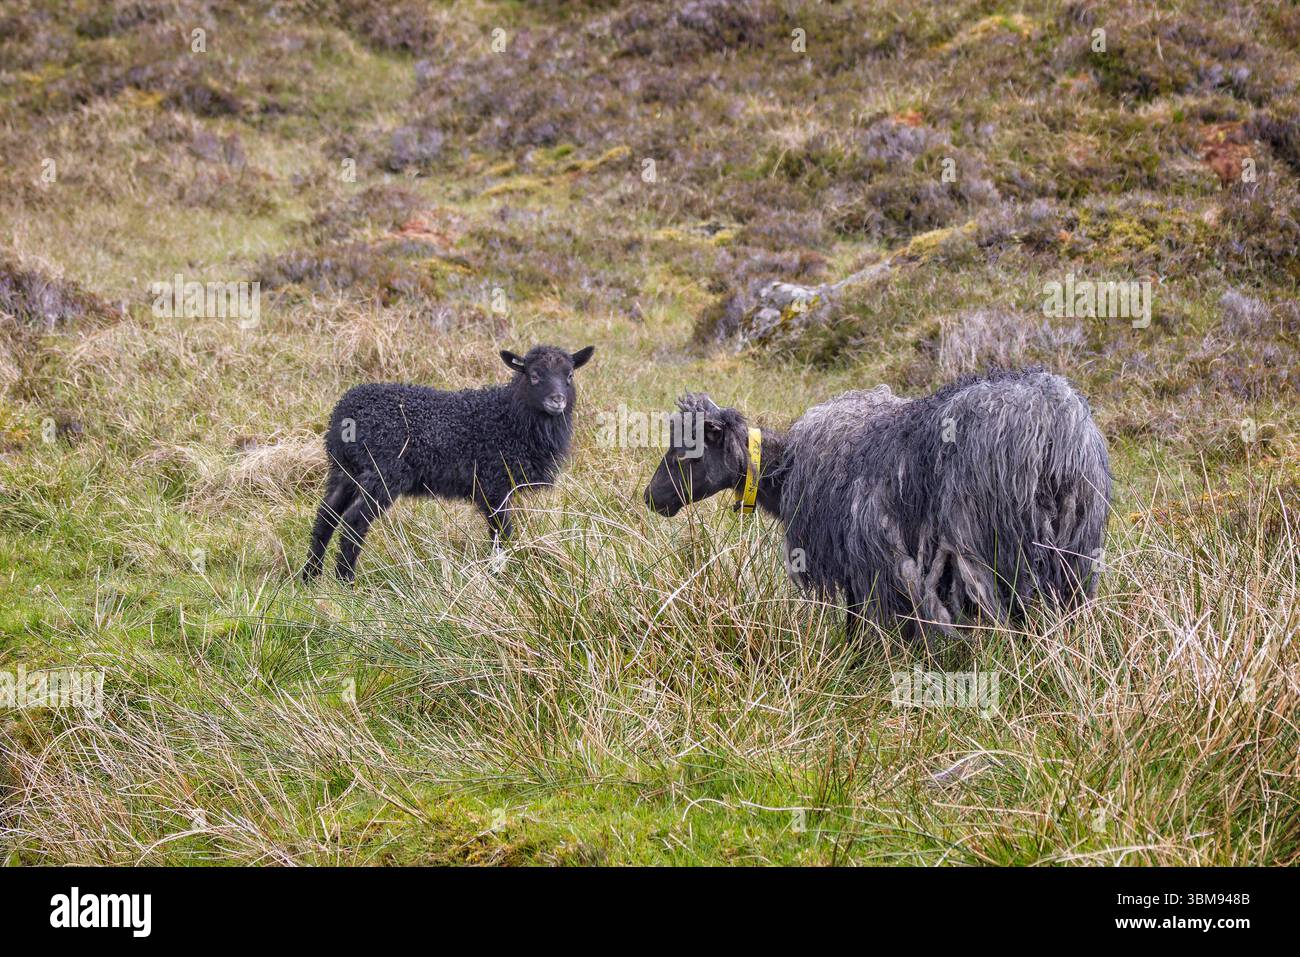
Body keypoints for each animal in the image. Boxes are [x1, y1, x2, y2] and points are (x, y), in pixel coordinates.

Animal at [302, 344, 594, 582]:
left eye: (570, 376)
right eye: (533, 376)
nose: (557, 401)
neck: (509, 418)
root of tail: (345, 415)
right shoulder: (494, 485)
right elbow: (502, 535)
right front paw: (500, 578)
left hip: (345, 470)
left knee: (326, 516)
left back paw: (310, 578)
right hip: (383, 473)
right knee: (354, 521)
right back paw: (345, 582)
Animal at [643, 369, 1110, 644]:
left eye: (689, 453)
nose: (651, 498)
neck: (784, 470)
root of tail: (1052, 428)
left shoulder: (855, 560)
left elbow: (857, 621)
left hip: (987, 544)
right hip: (1075, 547)